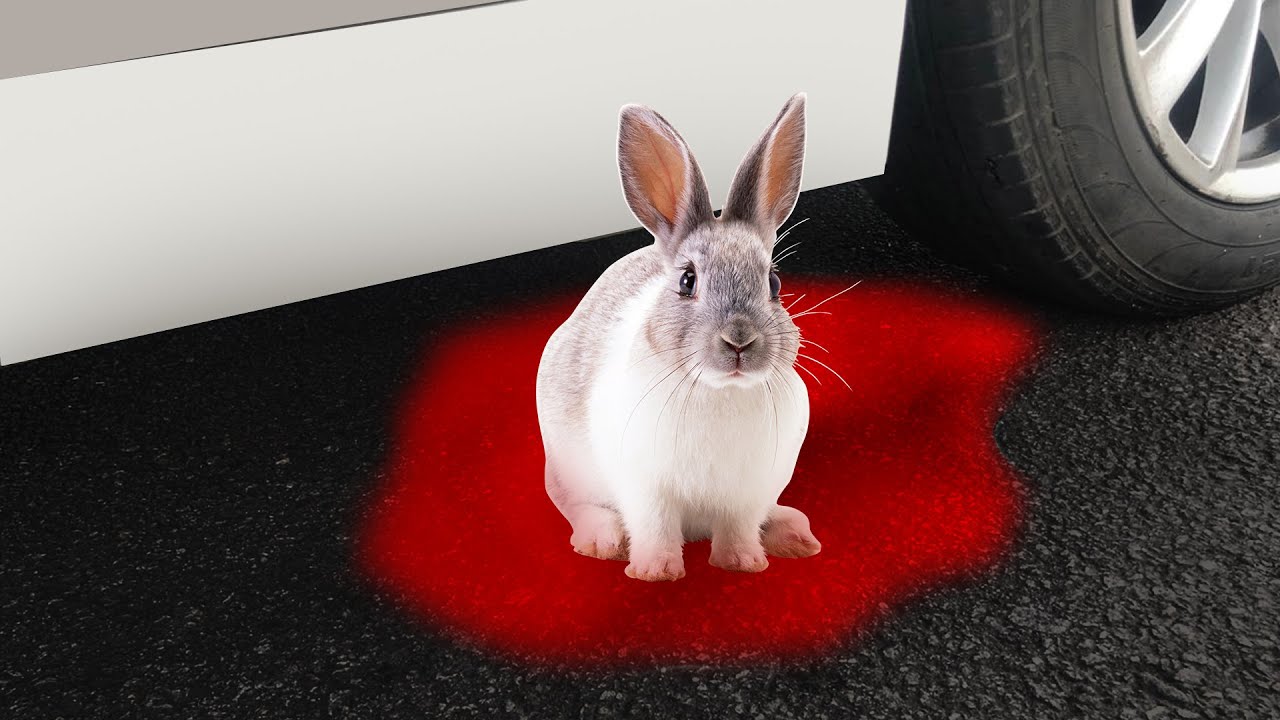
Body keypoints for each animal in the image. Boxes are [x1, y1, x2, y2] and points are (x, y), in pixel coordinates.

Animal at [535, 93, 820, 582]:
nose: (739, 341)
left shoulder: (748, 493)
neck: (720, 391)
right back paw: (601, 540)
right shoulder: (645, 488)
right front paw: (656, 573)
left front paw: (743, 564)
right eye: (687, 281)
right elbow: (654, 527)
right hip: (566, 466)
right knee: (576, 506)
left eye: (774, 283)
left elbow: (739, 528)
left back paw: (794, 536)